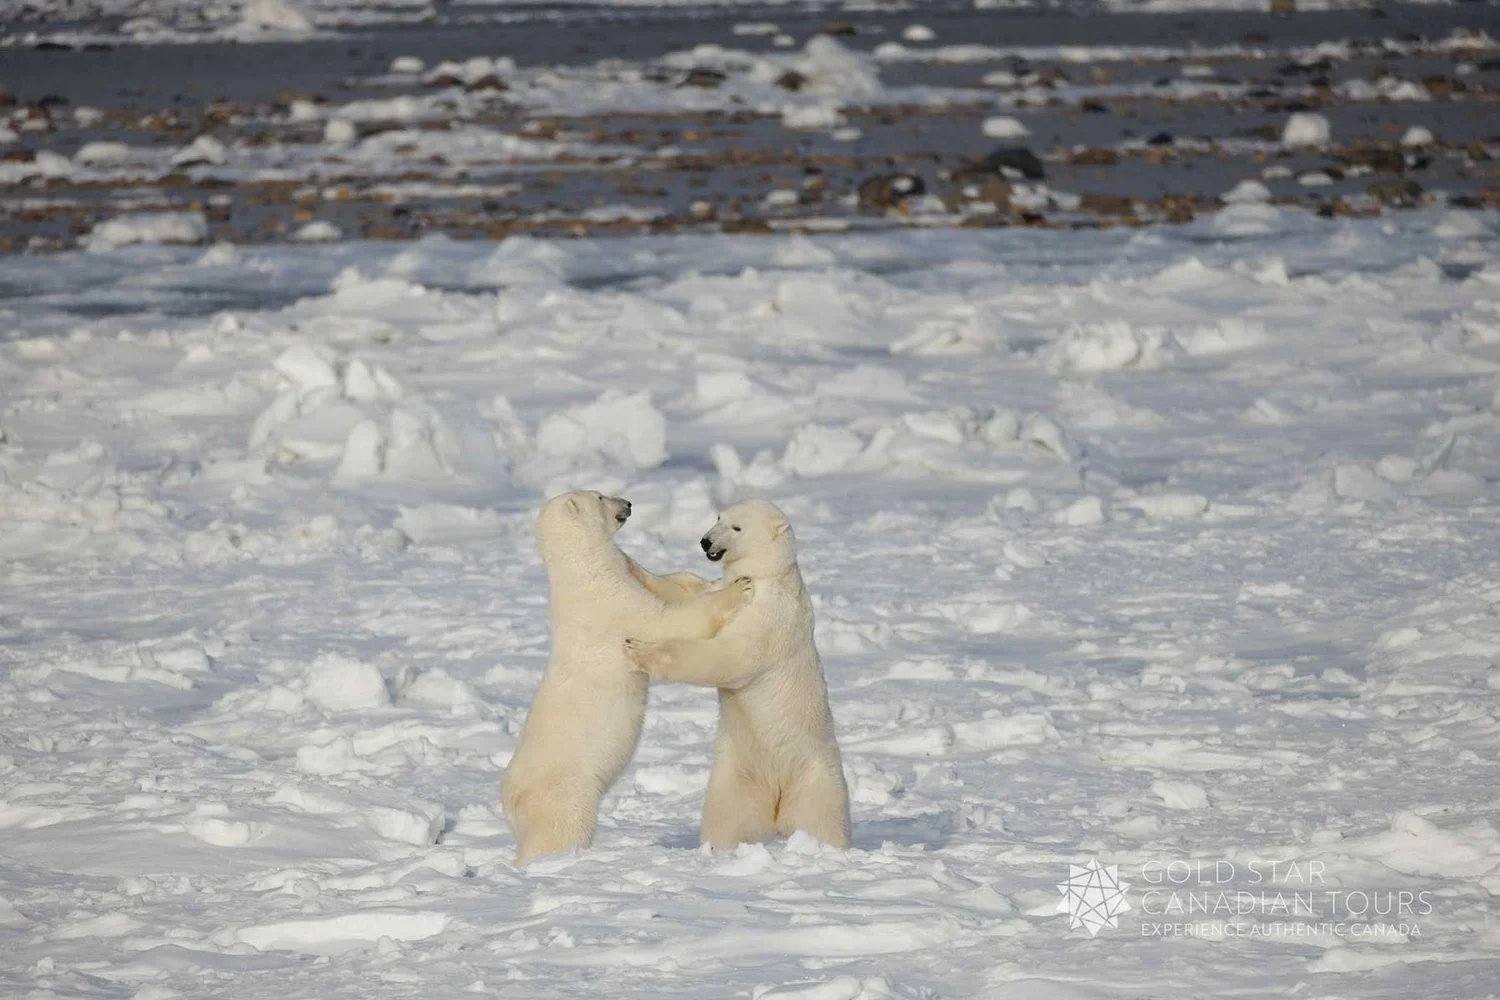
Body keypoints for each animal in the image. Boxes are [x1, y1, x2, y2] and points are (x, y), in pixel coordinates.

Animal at [501, 490, 752, 867]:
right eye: (601, 496)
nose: (629, 504)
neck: (586, 574)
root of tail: (510, 800)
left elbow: (667, 585)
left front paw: (708, 581)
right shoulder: (614, 609)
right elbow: (667, 622)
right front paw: (738, 588)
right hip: (564, 793)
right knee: (558, 832)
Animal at [626, 499, 851, 851]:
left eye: (737, 528)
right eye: (719, 517)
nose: (705, 541)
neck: (766, 575)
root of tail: (776, 801)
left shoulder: (769, 616)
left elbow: (728, 656)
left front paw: (641, 650)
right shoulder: (723, 588)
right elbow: (689, 591)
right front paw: (632, 565)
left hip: (815, 777)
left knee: (820, 819)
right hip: (735, 775)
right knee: (727, 818)